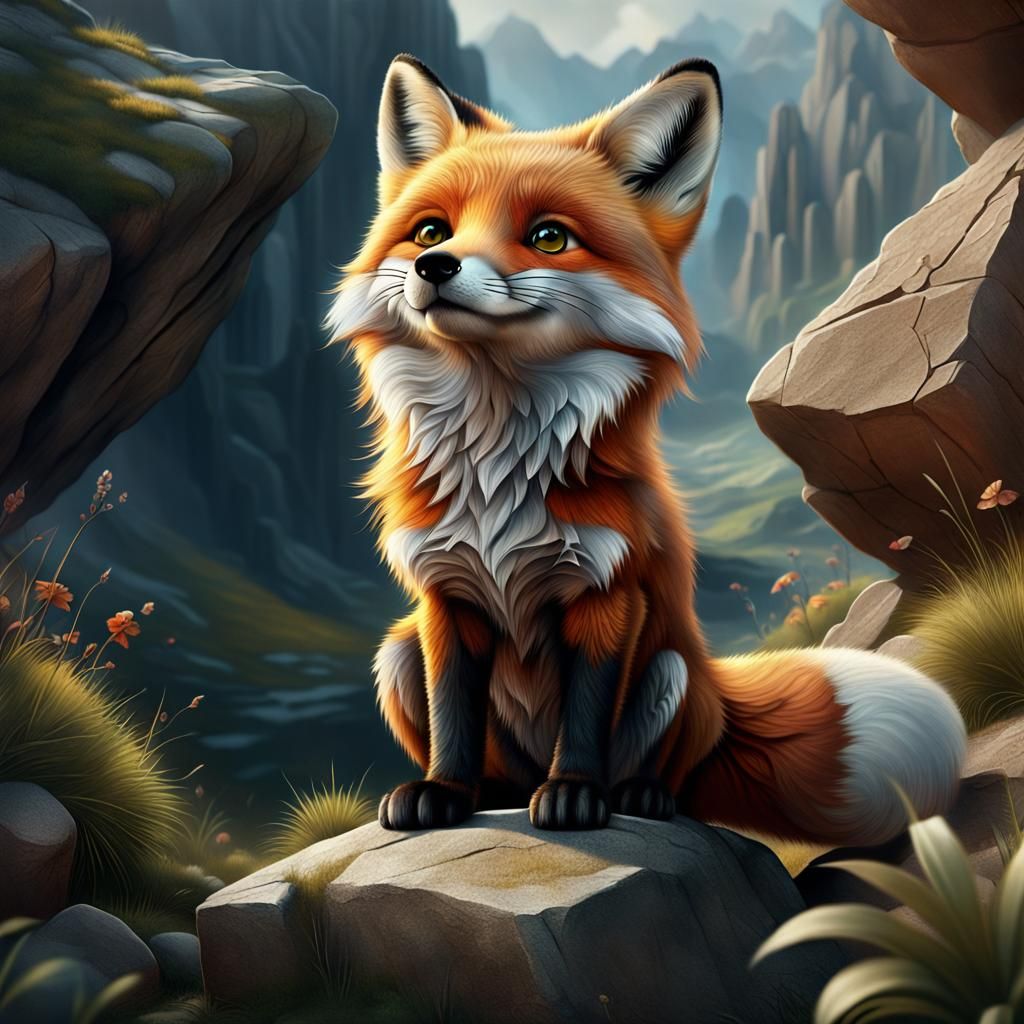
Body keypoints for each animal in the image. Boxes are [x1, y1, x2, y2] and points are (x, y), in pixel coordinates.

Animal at [326, 53, 966, 840]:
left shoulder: (609, 589)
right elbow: (453, 711)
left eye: (548, 236)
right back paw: (488, 790)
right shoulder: (444, 595)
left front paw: (575, 794)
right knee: (490, 756)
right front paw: (443, 790)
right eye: (428, 230)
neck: (498, 472)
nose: (435, 267)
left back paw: (635, 795)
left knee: (665, 768)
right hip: (397, 651)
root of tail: (719, 693)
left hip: (670, 670)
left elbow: (587, 713)